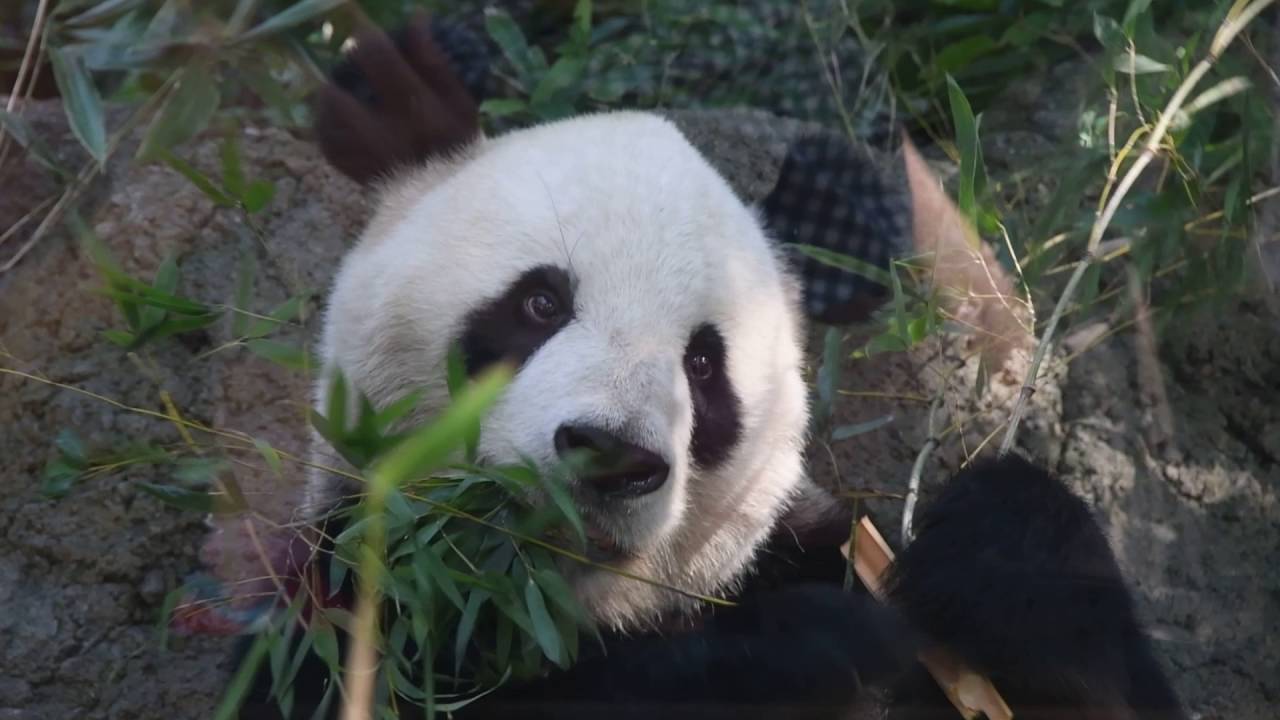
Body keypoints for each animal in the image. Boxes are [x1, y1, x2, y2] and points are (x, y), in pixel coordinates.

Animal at [231, 19, 1188, 720]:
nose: (612, 456)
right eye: (540, 304)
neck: (562, 607)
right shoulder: (348, 603)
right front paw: (803, 650)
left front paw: (997, 555)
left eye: (701, 365)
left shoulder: (792, 551)